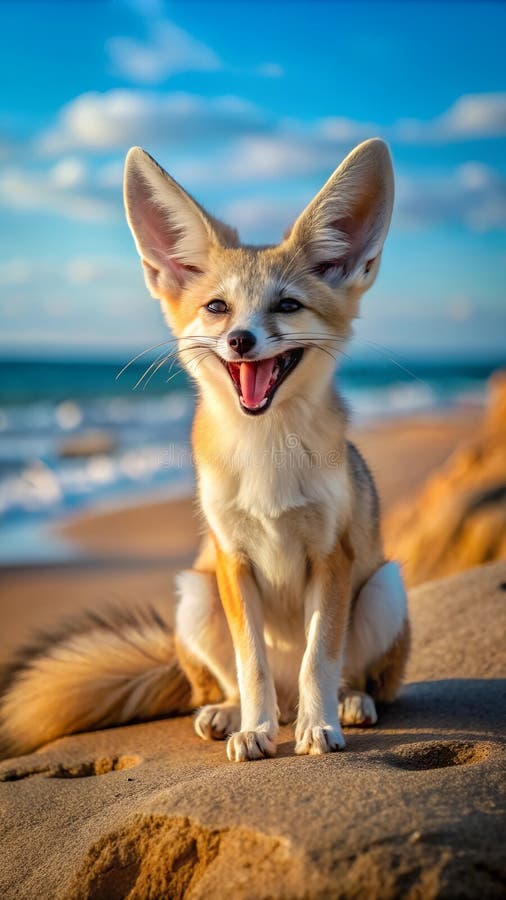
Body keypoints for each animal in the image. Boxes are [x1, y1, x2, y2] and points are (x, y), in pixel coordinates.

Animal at [0, 138, 410, 762]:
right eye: (218, 308)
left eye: (287, 306)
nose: (240, 340)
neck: (266, 456)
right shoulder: (231, 557)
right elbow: (252, 665)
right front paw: (255, 731)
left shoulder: (330, 557)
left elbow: (319, 657)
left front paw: (318, 728)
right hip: (195, 592)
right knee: (242, 685)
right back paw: (237, 714)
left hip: (386, 586)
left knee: (348, 676)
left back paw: (344, 705)